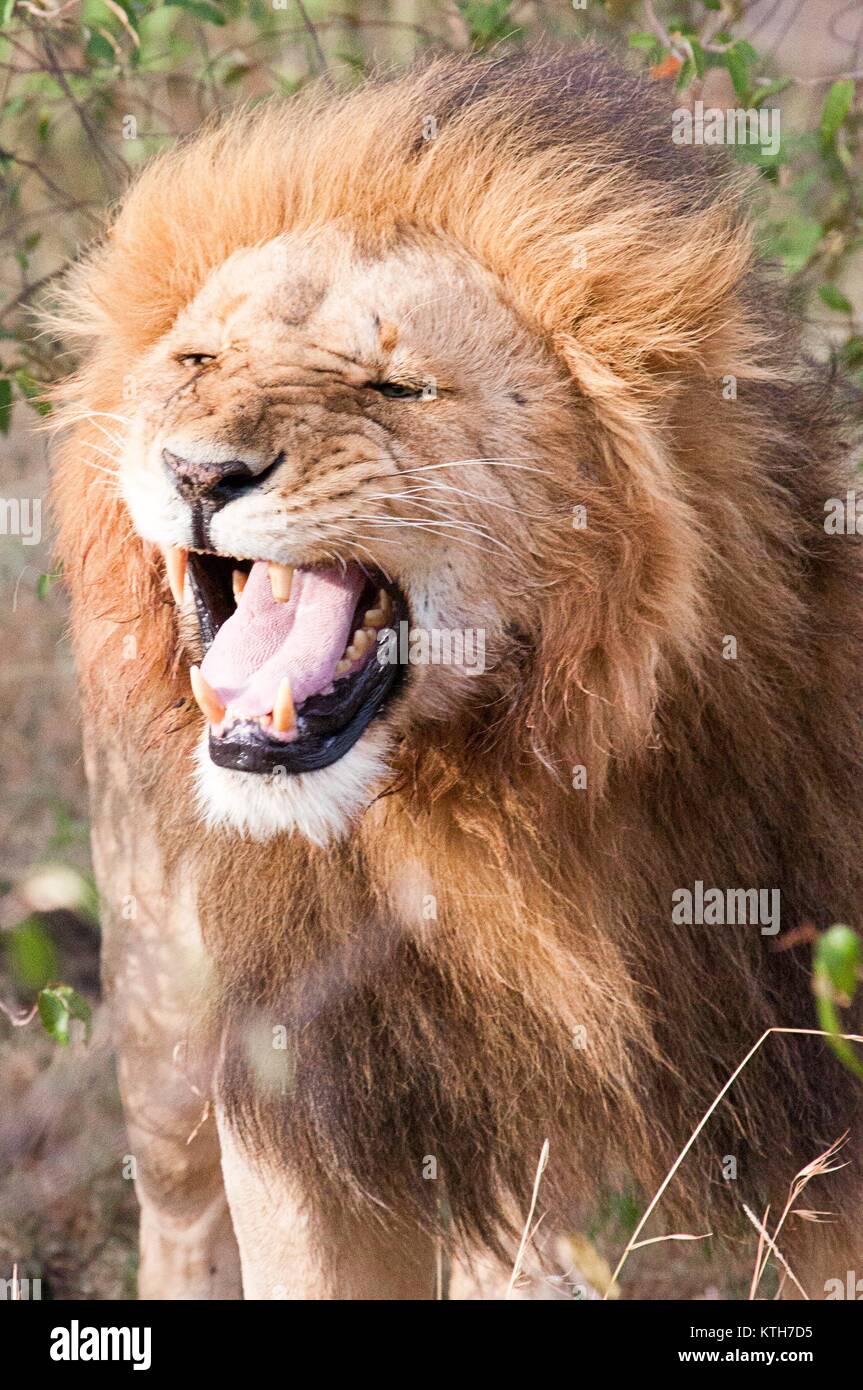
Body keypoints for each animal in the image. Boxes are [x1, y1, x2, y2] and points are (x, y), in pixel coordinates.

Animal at [49, 48, 863, 1299]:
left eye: (397, 389)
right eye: (196, 362)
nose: (196, 471)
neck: (488, 810)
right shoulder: (314, 1110)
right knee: (176, 1211)